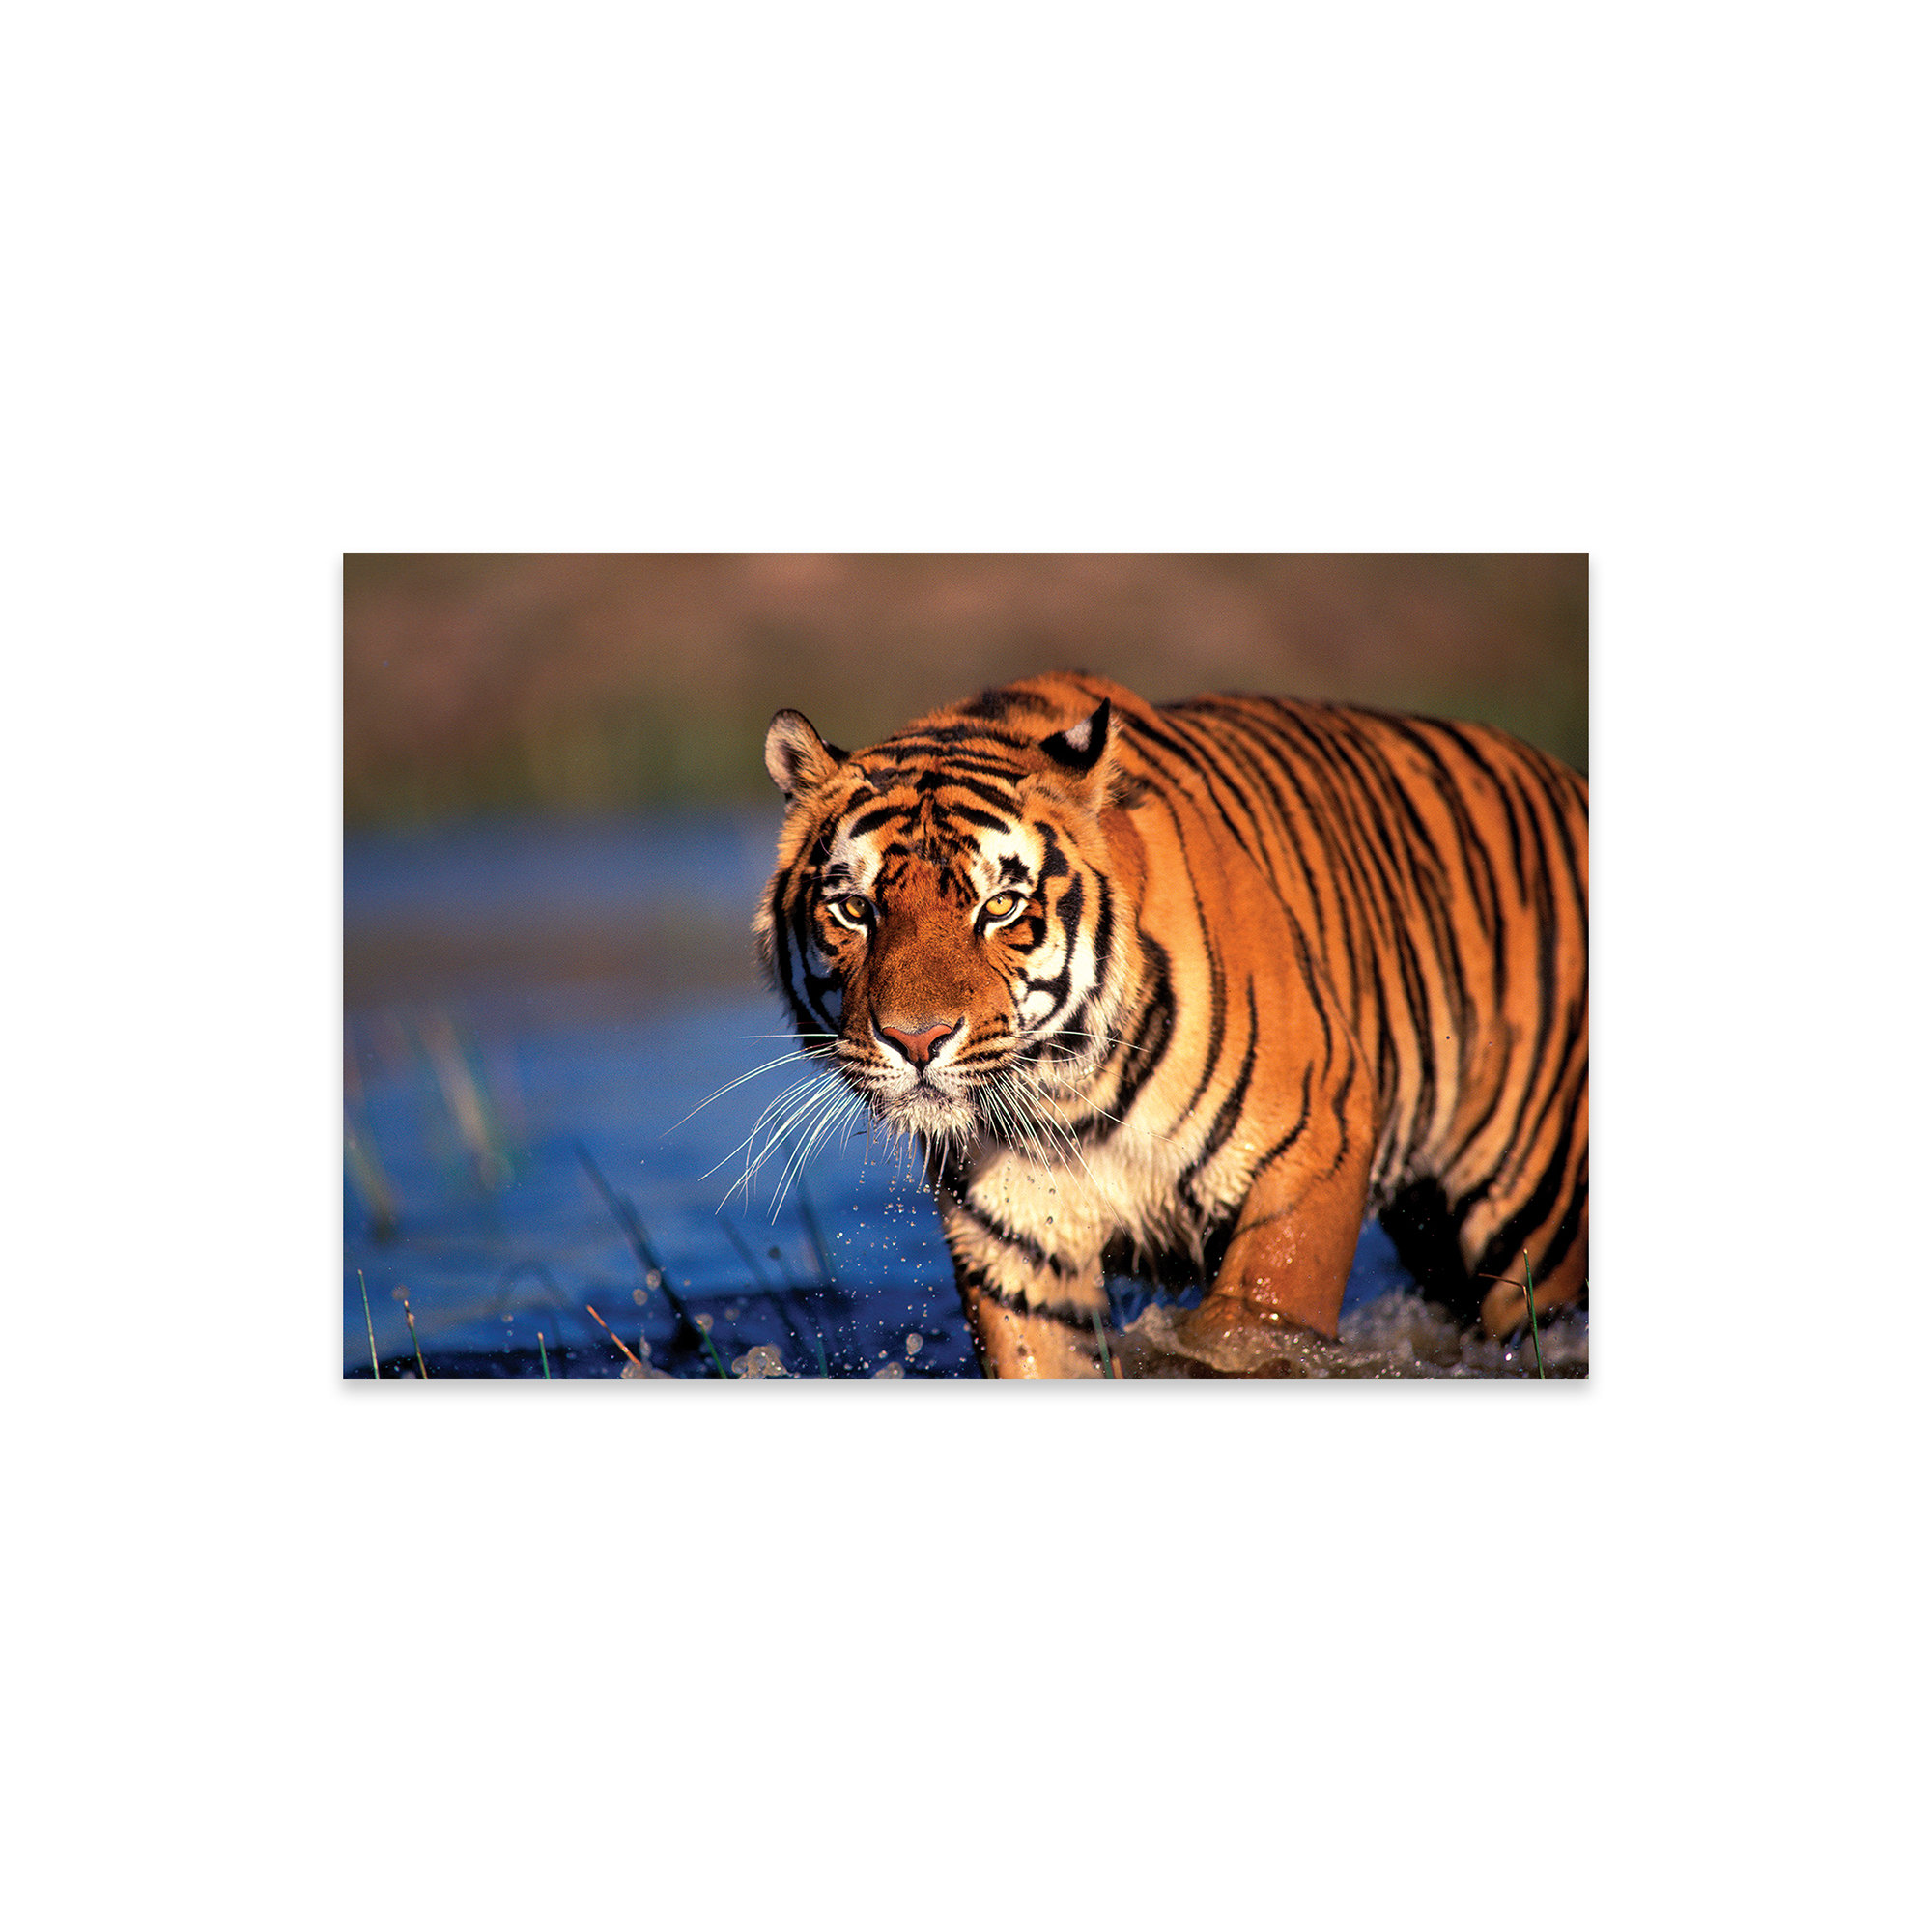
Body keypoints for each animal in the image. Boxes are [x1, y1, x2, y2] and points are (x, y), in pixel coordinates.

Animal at [755, 671, 1587, 1379]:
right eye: (853, 910)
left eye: (1000, 907)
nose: (917, 1041)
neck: (1067, 1099)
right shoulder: (1014, 1238)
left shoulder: (1315, 1140)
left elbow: (1251, 1331)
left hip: (1535, 1220)